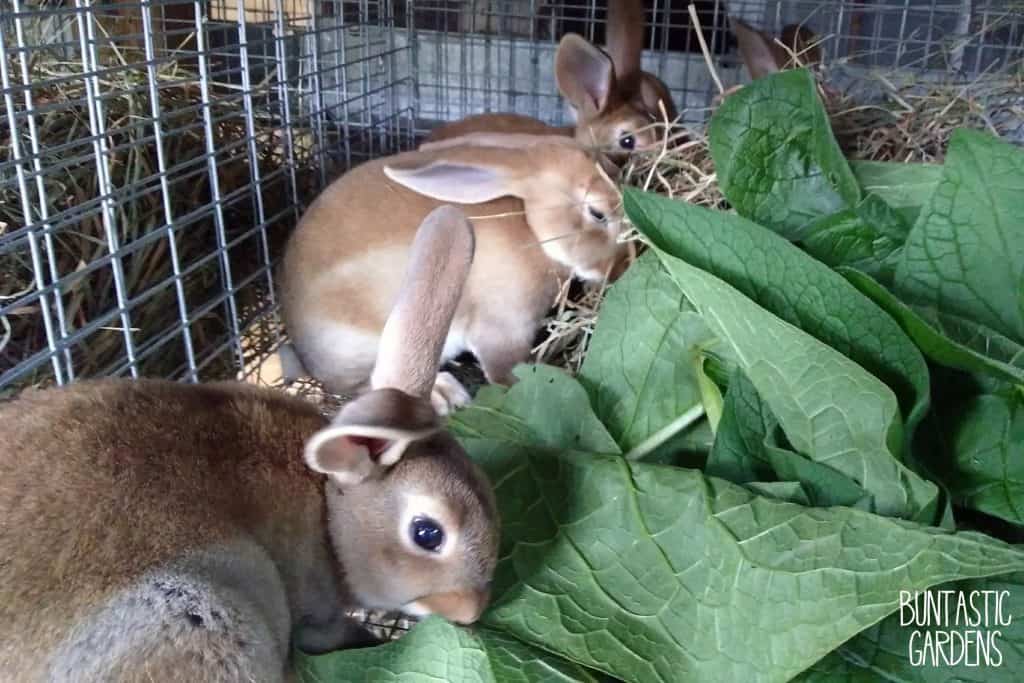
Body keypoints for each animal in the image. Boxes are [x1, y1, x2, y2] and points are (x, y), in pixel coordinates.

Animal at [279, 133, 626, 408]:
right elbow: (507, 369)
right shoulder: (504, 328)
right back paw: (445, 394)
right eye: (598, 213)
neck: (532, 228)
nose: (620, 269)